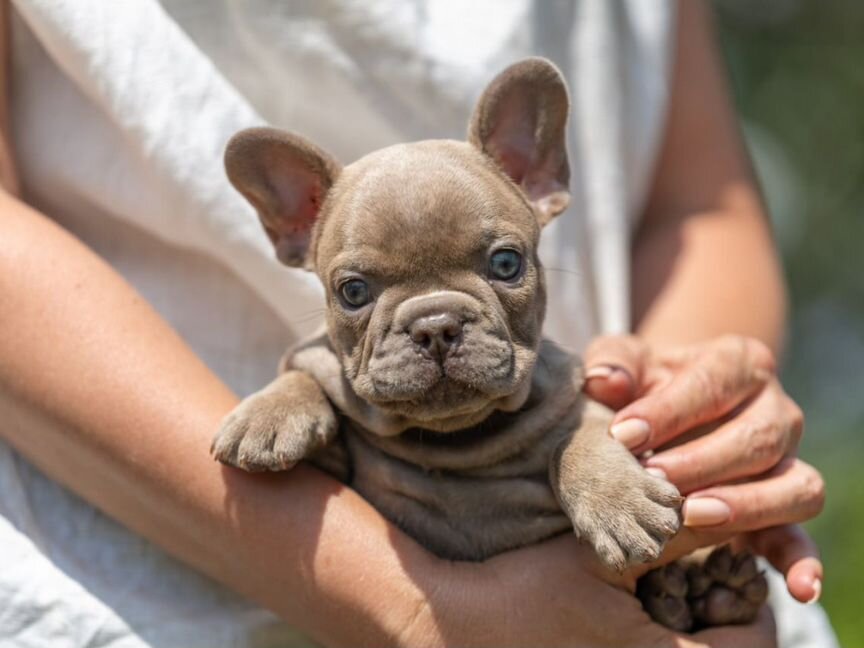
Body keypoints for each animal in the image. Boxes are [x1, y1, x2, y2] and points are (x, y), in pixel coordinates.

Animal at [213, 58, 768, 632]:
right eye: (353, 292)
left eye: (506, 263)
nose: (436, 324)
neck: (459, 439)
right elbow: (303, 372)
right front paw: (269, 415)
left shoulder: (593, 406)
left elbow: (582, 439)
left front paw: (618, 502)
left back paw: (715, 587)